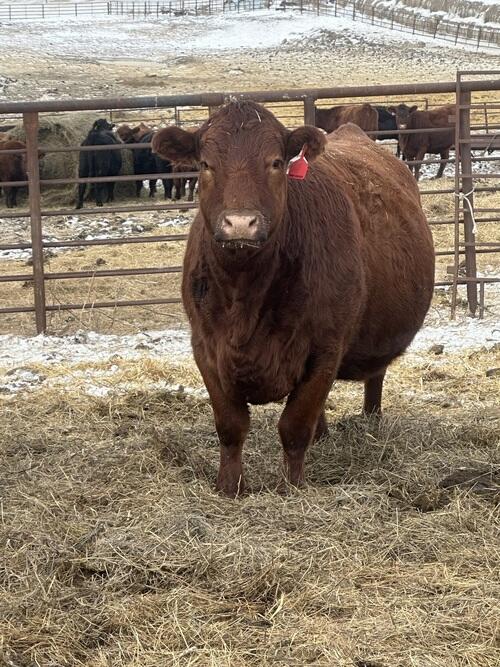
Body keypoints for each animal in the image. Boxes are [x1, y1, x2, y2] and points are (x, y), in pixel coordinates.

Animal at [152, 101, 435, 498]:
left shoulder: (326, 349)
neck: (245, 294)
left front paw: (293, 486)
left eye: (275, 162)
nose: (240, 224)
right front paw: (229, 486)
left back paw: (371, 420)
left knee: (374, 379)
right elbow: (230, 426)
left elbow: (295, 425)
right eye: (205, 164)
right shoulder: (205, 347)